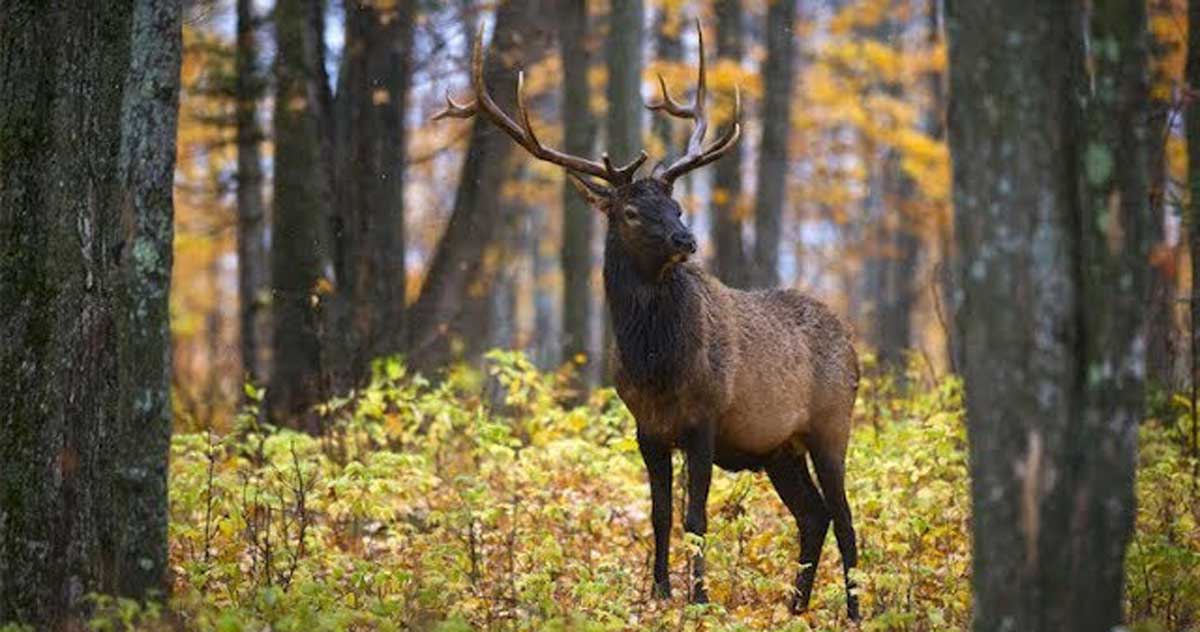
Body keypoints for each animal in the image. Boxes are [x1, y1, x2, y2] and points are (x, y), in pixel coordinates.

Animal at [435, 20, 860, 622]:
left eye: (677, 207)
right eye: (632, 212)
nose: (687, 240)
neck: (656, 366)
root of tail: (854, 349)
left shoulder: (706, 419)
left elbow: (695, 517)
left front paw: (700, 599)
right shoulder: (646, 428)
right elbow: (659, 514)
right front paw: (659, 592)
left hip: (831, 425)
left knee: (845, 517)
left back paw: (853, 610)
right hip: (780, 448)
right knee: (814, 514)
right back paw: (794, 607)